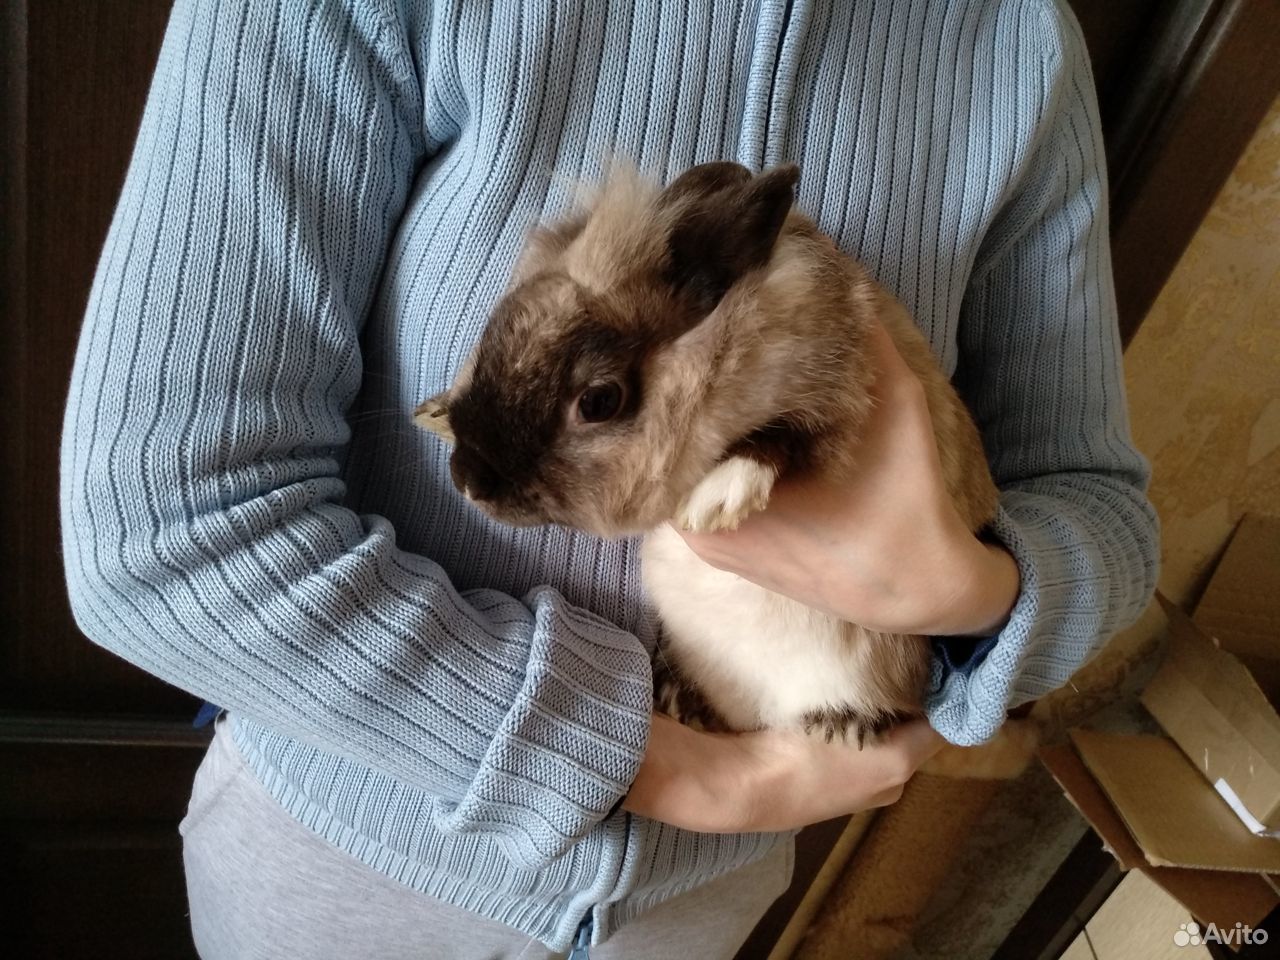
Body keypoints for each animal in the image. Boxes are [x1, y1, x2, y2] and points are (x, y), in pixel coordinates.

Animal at [416, 161, 1035, 778]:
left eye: (598, 401)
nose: (468, 479)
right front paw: (436, 414)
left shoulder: (838, 396)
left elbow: (786, 436)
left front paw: (717, 498)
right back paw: (681, 701)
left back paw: (843, 725)